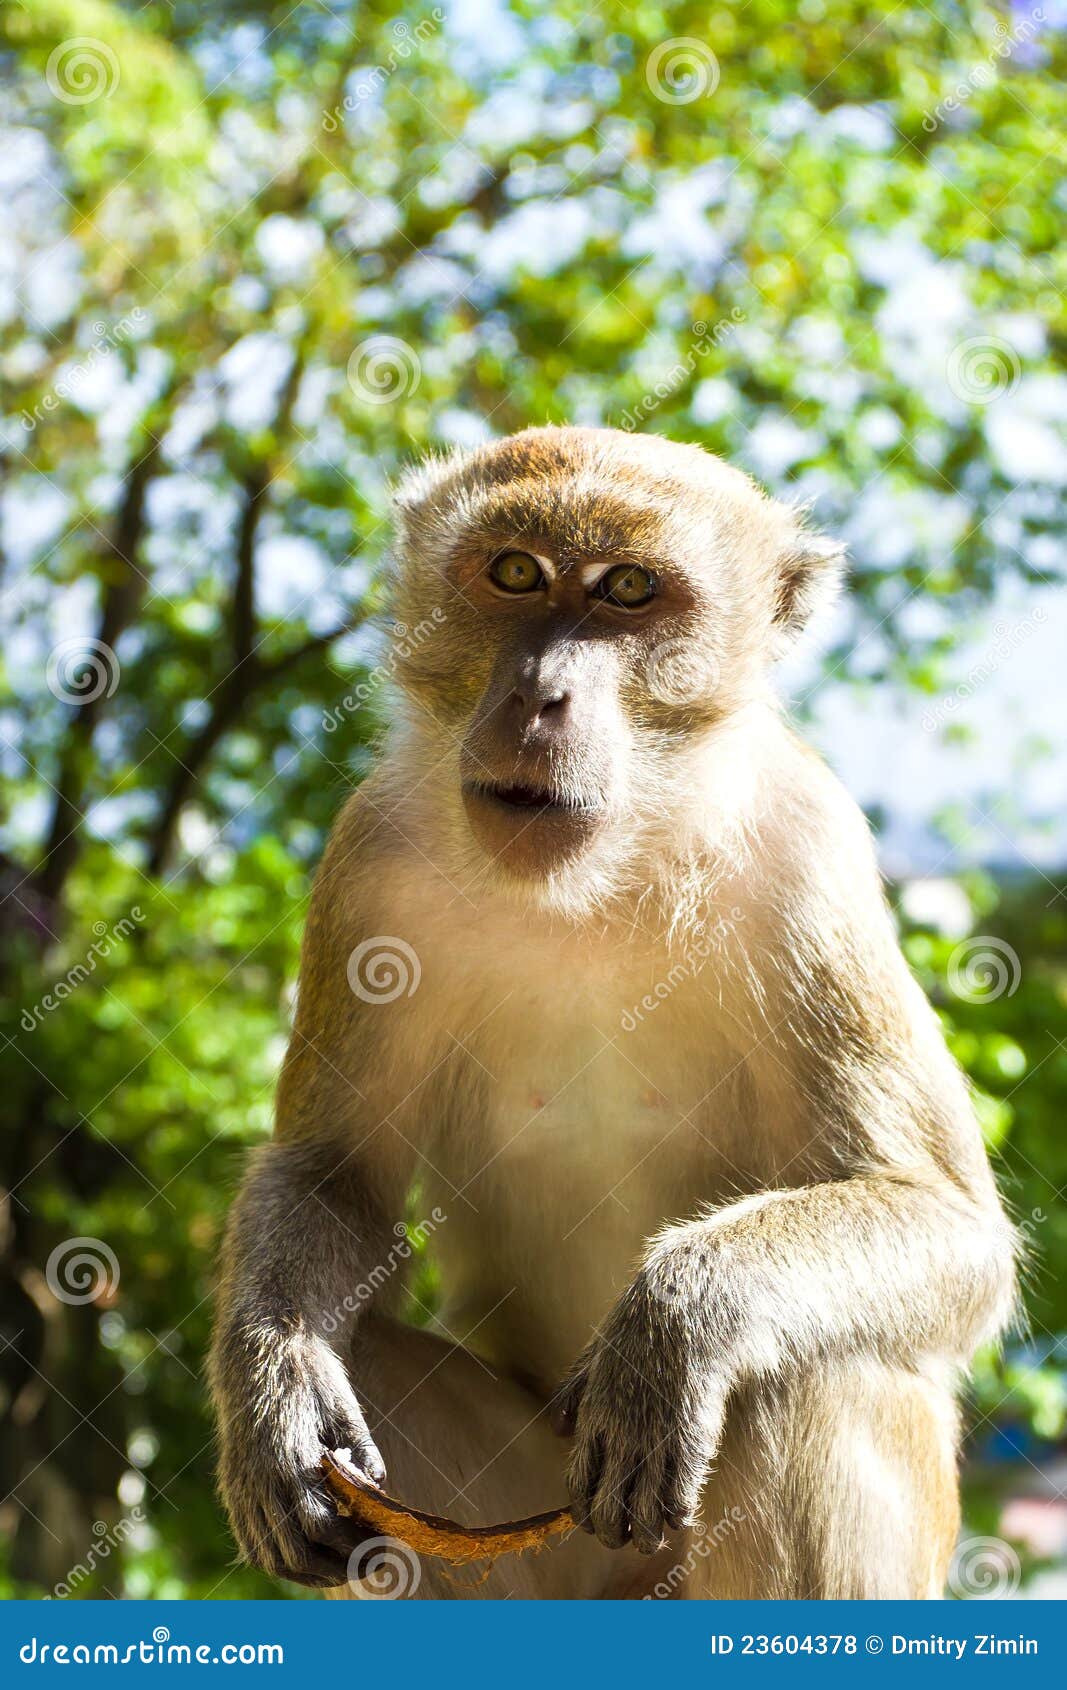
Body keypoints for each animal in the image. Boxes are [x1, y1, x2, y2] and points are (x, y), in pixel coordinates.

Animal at [208, 425, 1015, 1600]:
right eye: (513, 573)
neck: (598, 876)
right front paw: (274, 1395)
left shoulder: (810, 856)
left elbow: (948, 1223)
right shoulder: (370, 860)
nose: (538, 693)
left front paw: (678, 1319)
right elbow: (335, 1173)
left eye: (629, 590)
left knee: (814, 1370)